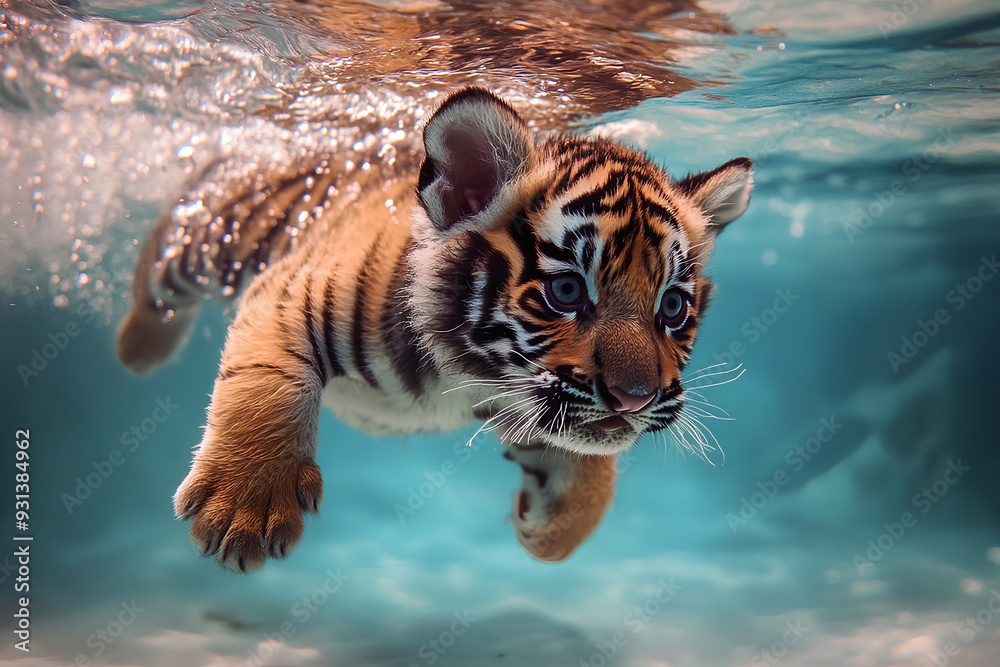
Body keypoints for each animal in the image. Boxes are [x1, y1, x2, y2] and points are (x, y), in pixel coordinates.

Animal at [117, 87, 753, 572]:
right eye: (567, 292)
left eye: (672, 307)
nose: (634, 398)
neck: (466, 371)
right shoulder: (289, 291)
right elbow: (267, 381)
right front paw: (243, 511)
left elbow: (588, 466)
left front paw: (549, 529)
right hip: (208, 235)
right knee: (161, 254)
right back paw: (136, 351)